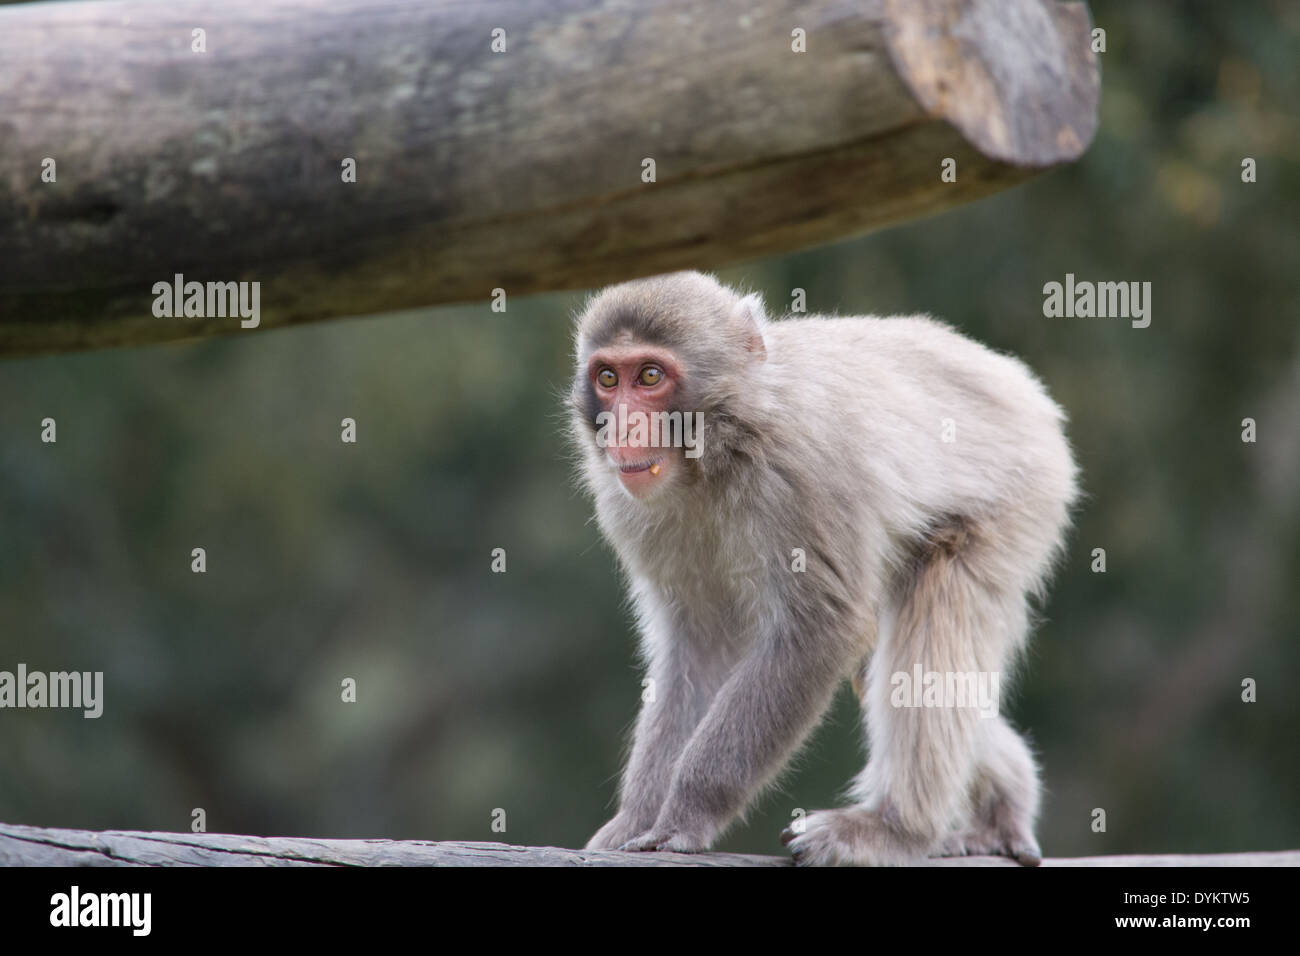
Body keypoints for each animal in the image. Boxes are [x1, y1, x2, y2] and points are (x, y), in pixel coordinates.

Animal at [569, 271, 1078, 865]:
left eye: (649, 376)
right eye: (608, 378)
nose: (621, 426)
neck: (719, 446)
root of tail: (1022, 387)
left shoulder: (801, 472)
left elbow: (820, 632)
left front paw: (687, 814)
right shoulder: (628, 504)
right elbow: (701, 649)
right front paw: (635, 819)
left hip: (1021, 492)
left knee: (935, 622)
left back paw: (896, 828)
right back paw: (1003, 808)